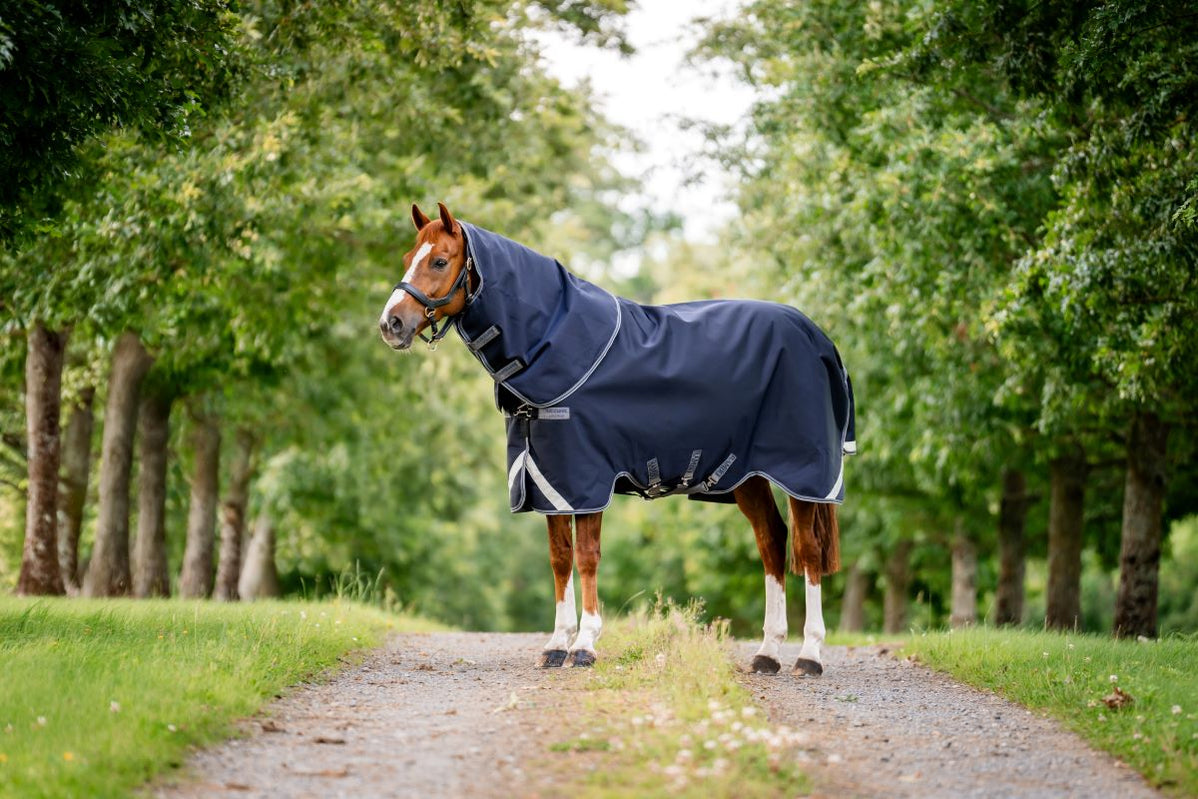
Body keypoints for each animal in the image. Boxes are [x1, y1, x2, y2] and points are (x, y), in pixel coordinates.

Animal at [380, 202, 855, 675]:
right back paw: (767, 653)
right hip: (747, 475)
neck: (553, 344)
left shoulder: (588, 478)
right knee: (772, 543)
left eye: (440, 261)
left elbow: (587, 556)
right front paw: (557, 644)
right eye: (407, 258)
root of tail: (818, 338)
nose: (391, 324)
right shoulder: (550, 481)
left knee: (808, 549)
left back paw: (809, 654)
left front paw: (585, 645)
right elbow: (560, 557)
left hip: (802, 473)